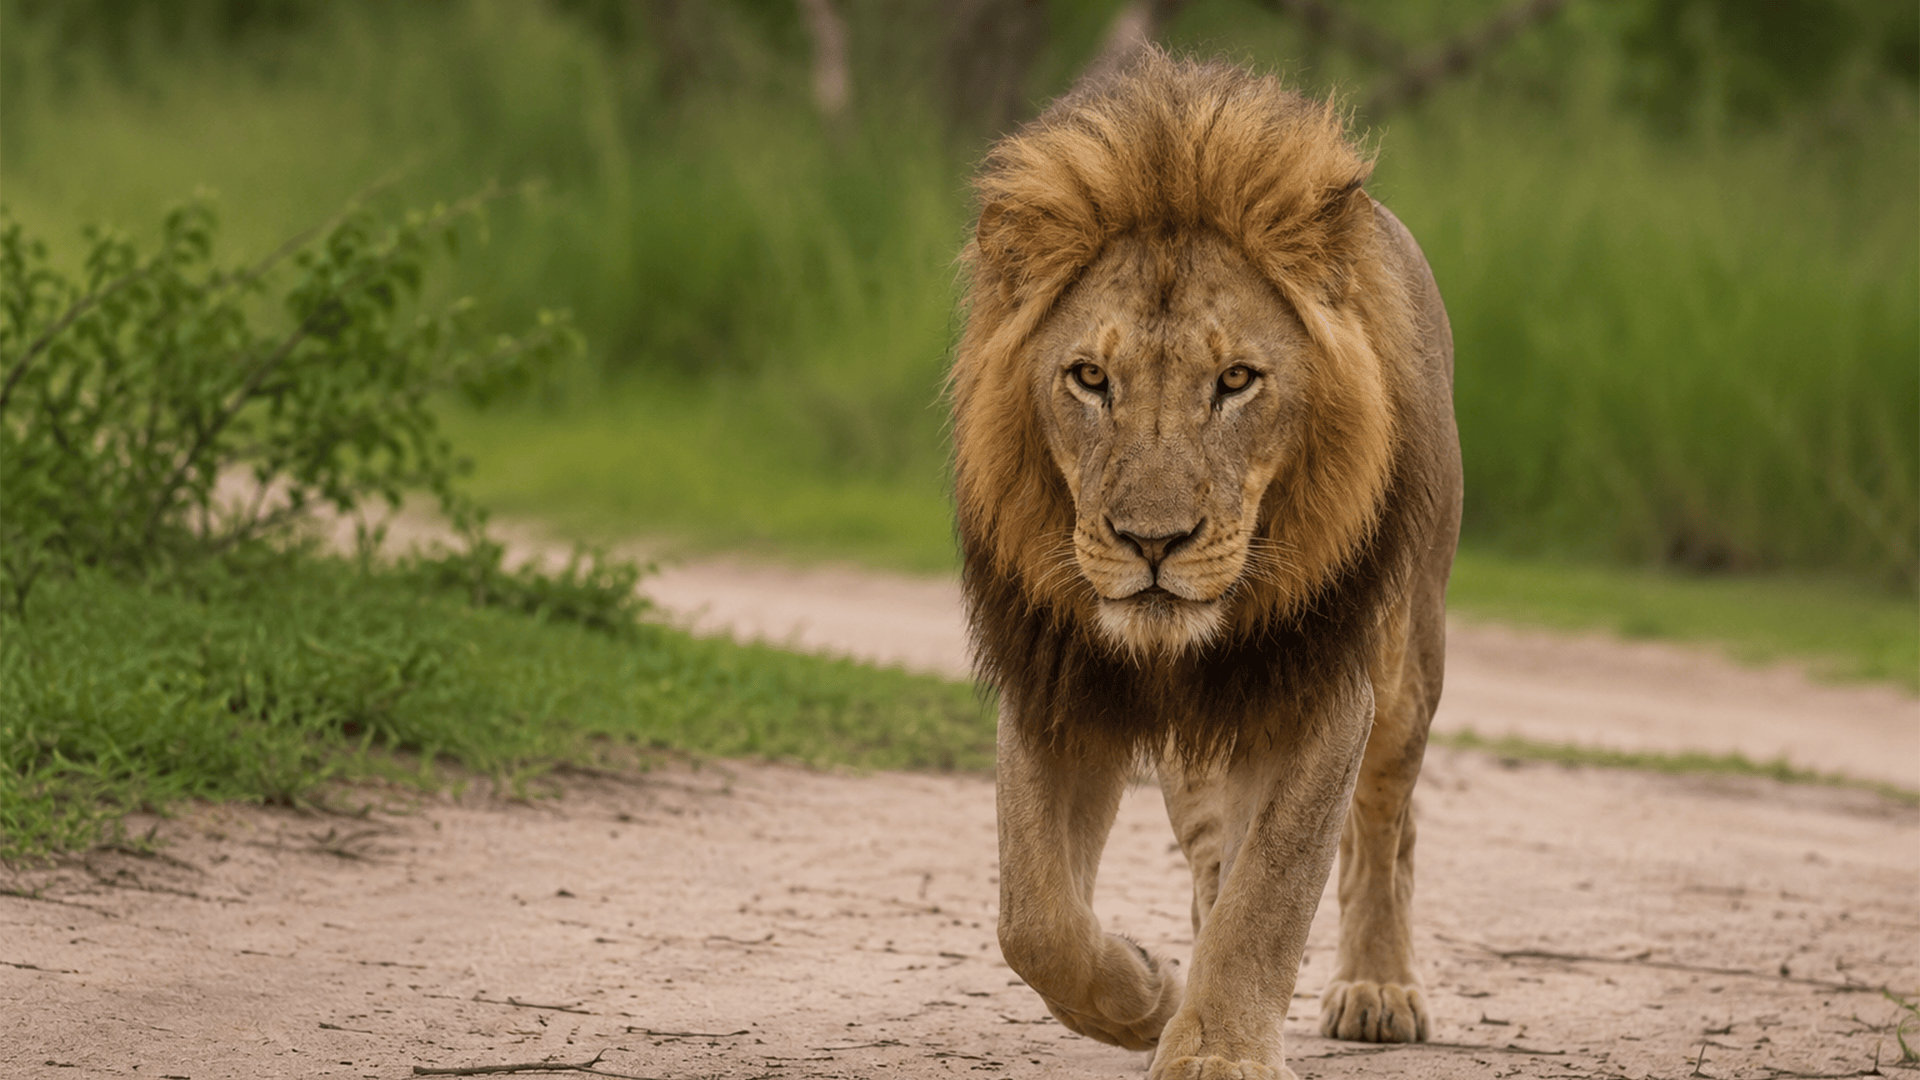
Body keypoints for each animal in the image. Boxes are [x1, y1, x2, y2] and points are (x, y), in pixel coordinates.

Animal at [949, 51, 1462, 1079]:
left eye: (1235, 382)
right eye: (1089, 378)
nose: (1153, 542)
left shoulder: (1321, 685)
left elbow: (1273, 892)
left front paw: (1218, 1051)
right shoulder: (1057, 677)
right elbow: (1033, 917)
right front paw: (1148, 996)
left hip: (1408, 656)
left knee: (1387, 824)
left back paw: (1378, 987)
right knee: (1211, 847)